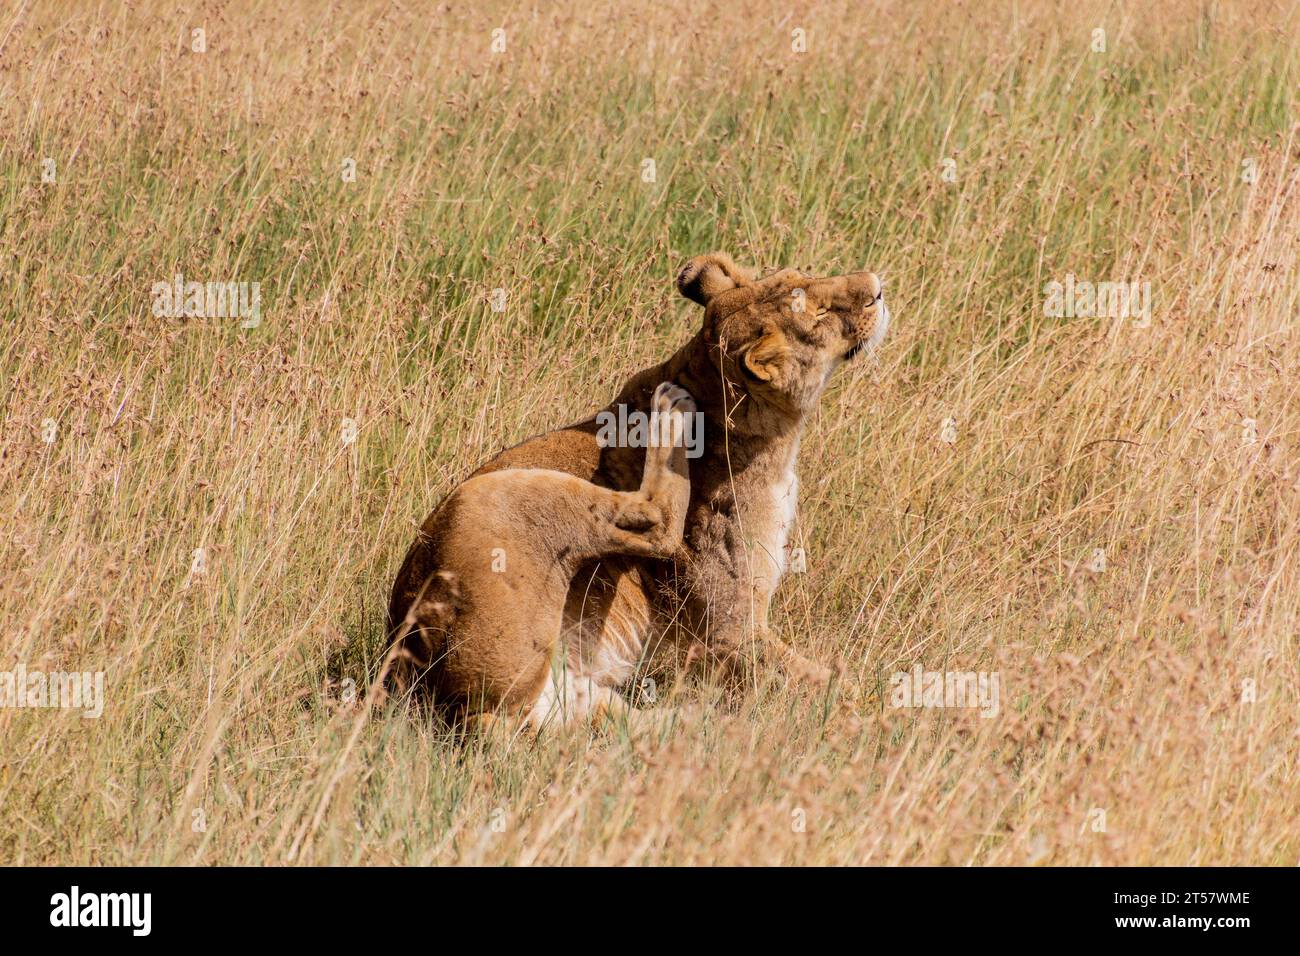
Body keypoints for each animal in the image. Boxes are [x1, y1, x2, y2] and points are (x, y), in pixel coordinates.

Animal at [387, 252, 890, 731]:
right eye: (818, 312)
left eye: (805, 274)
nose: (877, 288)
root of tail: (445, 697)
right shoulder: (729, 629)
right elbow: (832, 683)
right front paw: (878, 713)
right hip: (492, 496)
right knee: (656, 524)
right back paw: (671, 410)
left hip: (581, 698)